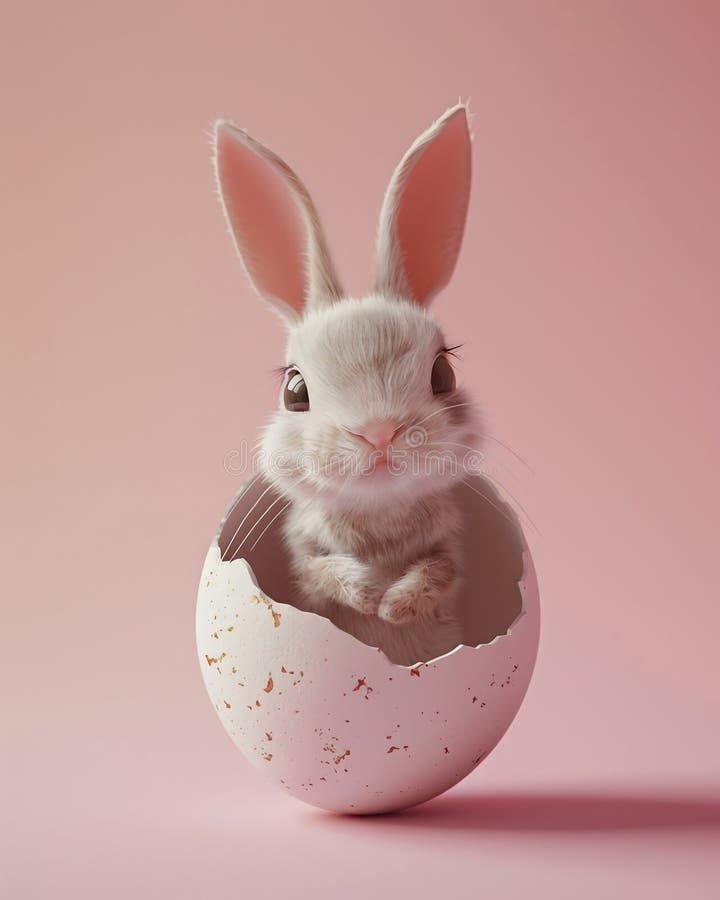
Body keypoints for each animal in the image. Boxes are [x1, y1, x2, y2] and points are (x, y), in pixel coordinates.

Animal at [214, 103, 480, 666]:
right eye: (294, 391)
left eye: (443, 374)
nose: (378, 433)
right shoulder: (303, 552)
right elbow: (321, 571)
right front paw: (371, 594)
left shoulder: (448, 546)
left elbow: (438, 569)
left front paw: (396, 606)